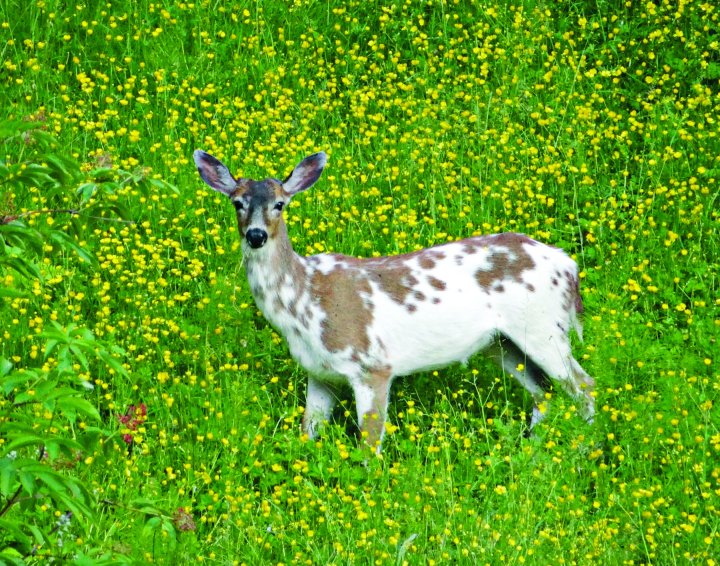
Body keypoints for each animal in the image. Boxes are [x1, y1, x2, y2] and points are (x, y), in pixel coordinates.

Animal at [193, 150, 595, 453]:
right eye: (238, 202)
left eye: (280, 203)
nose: (256, 235)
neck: (306, 302)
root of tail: (569, 266)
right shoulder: (317, 371)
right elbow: (308, 429)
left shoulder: (372, 364)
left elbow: (369, 445)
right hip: (502, 343)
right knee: (544, 393)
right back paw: (535, 448)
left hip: (543, 326)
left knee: (583, 385)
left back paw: (582, 451)